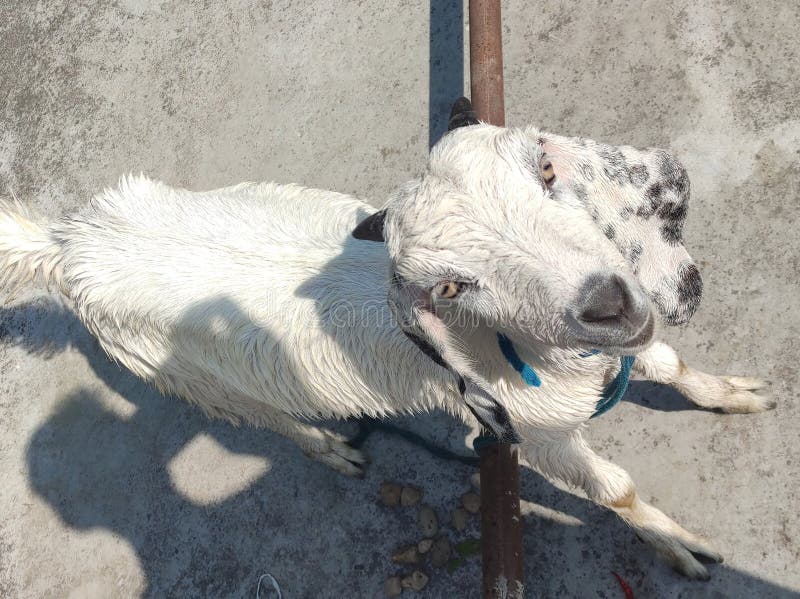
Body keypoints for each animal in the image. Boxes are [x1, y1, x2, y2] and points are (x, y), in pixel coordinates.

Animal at [0, 107, 773, 580]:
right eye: (452, 287)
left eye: (547, 171)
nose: (605, 302)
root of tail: (68, 244)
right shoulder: (537, 433)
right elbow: (615, 491)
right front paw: (680, 546)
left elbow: (670, 361)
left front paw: (736, 394)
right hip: (183, 376)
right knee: (264, 418)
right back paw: (331, 448)